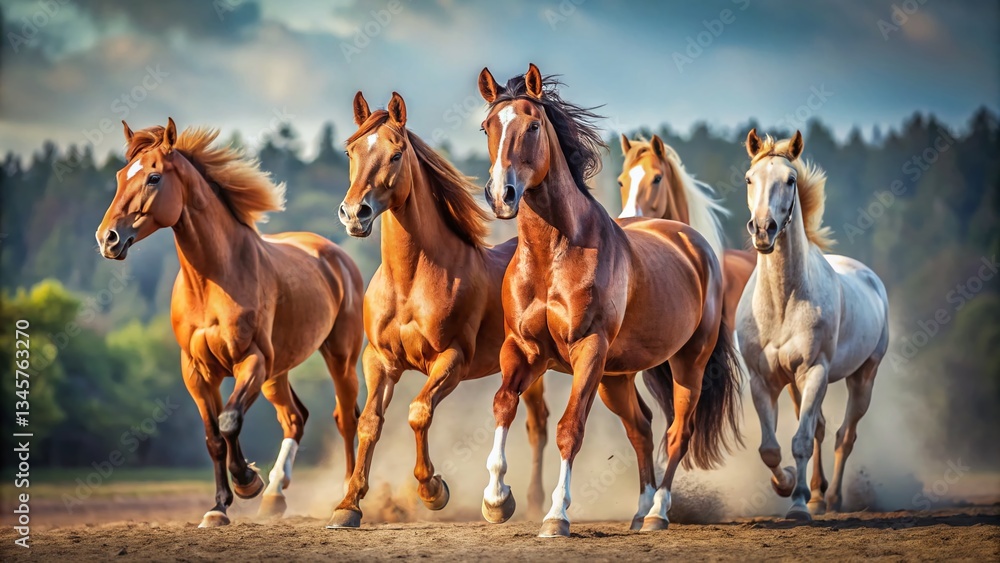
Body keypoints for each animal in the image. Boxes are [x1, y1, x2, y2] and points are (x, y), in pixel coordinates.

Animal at [95, 119, 364, 527]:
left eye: (154, 177)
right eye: (119, 176)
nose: (107, 239)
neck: (213, 281)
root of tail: (337, 256)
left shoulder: (250, 360)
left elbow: (229, 420)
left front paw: (247, 481)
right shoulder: (197, 371)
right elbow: (213, 437)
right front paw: (219, 507)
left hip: (339, 358)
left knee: (346, 418)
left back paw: (345, 500)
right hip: (277, 373)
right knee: (295, 417)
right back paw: (274, 496)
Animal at [326, 92, 551, 528]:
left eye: (396, 154)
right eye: (350, 151)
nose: (355, 213)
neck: (410, 282)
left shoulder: (452, 359)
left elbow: (419, 412)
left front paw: (432, 490)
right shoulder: (379, 360)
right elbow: (369, 423)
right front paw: (348, 504)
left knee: (538, 424)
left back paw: (529, 501)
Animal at [737, 129, 889, 521]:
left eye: (790, 180)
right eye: (749, 178)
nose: (764, 230)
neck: (782, 304)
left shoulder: (815, 371)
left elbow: (801, 441)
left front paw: (798, 506)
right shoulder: (764, 380)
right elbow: (771, 448)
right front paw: (787, 484)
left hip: (862, 377)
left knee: (844, 436)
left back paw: (830, 499)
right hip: (795, 385)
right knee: (821, 429)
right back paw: (818, 495)